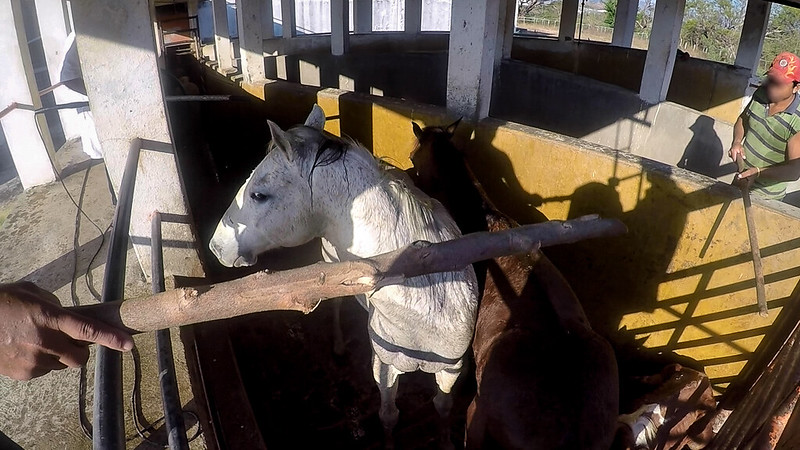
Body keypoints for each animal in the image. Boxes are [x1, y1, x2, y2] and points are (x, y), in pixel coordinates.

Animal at [209, 105, 479, 447]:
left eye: (258, 194)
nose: (216, 246)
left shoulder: (450, 370)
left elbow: (443, 406)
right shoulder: (384, 367)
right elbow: (389, 415)